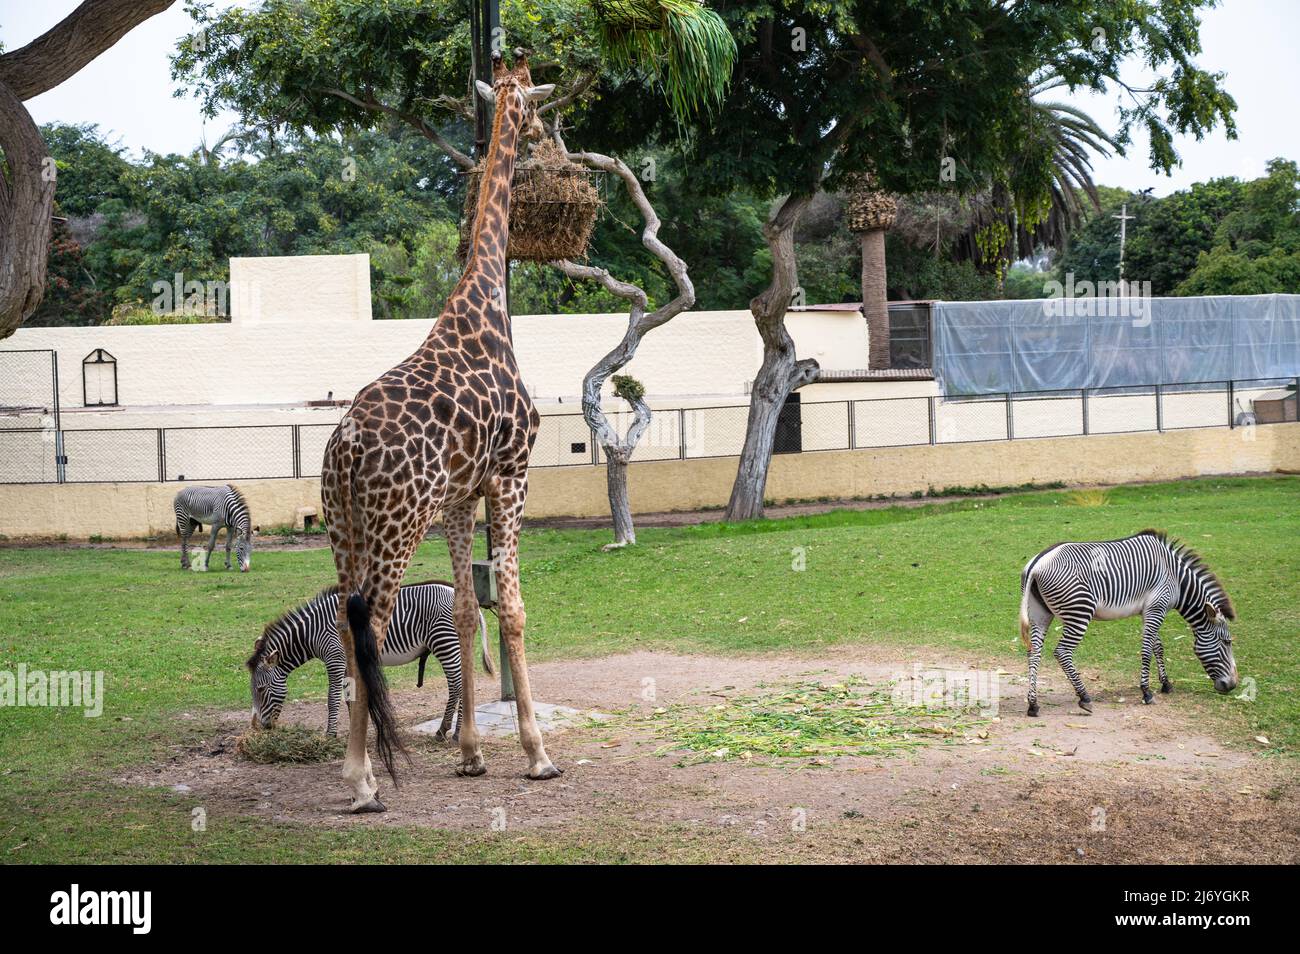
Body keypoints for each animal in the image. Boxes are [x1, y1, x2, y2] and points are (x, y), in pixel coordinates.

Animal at [247, 580, 494, 740]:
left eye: (260, 689)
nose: (261, 728)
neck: (313, 631)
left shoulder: (334, 659)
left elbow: (333, 698)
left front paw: (330, 735)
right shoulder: (347, 661)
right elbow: (350, 698)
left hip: (445, 643)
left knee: (457, 685)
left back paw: (453, 732)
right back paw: (449, 730)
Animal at [320, 51, 558, 813]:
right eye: (534, 103)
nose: (541, 134)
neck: (485, 302)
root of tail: (347, 447)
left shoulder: (458, 499)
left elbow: (465, 611)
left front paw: (474, 756)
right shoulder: (512, 475)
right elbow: (510, 609)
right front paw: (538, 754)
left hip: (345, 525)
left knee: (346, 626)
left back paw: (359, 772)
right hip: (396, 524)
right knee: (367, 621)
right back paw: (364, 783)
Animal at [1019, 529, 1238, 717]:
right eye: (1227, 642)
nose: (1232, 685)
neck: (1177, 578)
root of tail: (1036, 564)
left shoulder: (1149, 611)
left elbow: (1158, 647)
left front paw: (1166, 684)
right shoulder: (1157, 608)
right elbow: (1147, 649)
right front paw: (1146, 692)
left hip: (1040, 613)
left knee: (1034, 652)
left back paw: (1033, 704)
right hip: (1079, 613)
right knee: (1062, 652)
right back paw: (1085, 697)